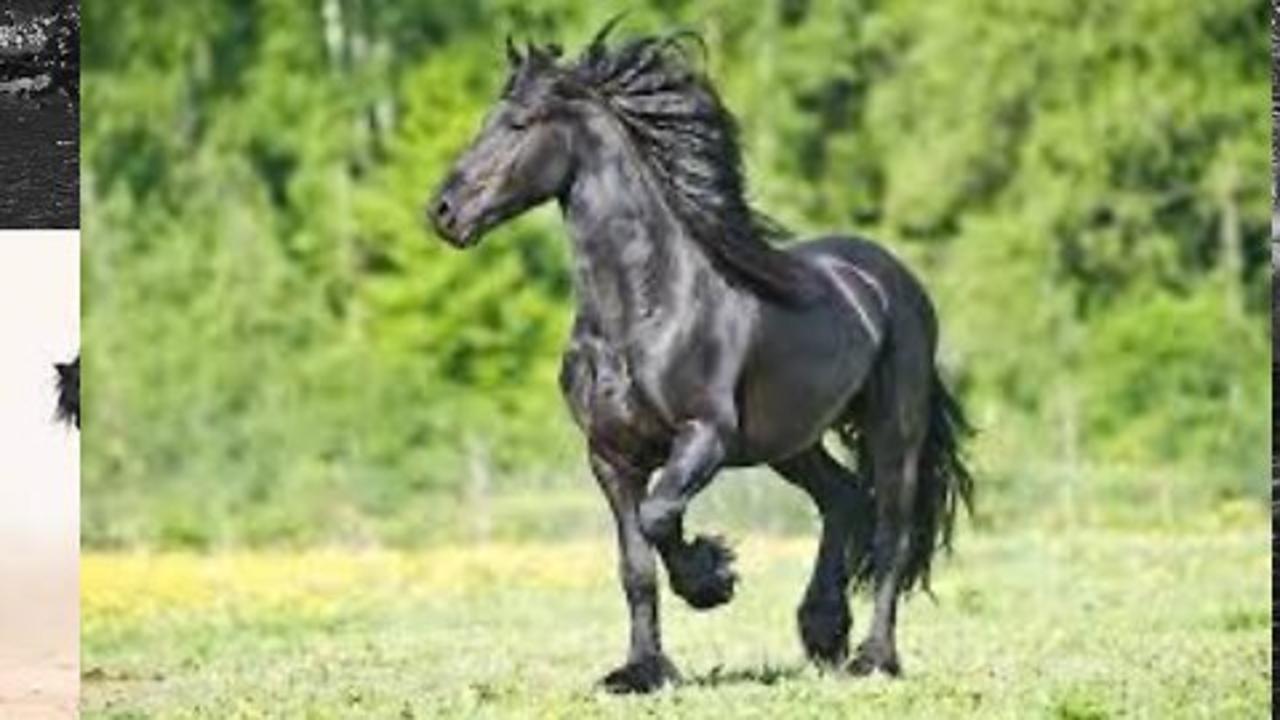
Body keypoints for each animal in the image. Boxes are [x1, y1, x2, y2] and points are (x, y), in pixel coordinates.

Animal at [428, 23, 974, 694]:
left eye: (518, 123)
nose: (443, 211)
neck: (643, 312)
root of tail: (890, 278)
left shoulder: (705, 436)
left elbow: (661, 516)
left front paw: (712, 579)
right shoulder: (610, 456)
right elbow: (635, 566)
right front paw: (641, 670)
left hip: (894, 431)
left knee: (891, 534)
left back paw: (873, 658)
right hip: (791, 442)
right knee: (842, 498)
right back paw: (823, 630)